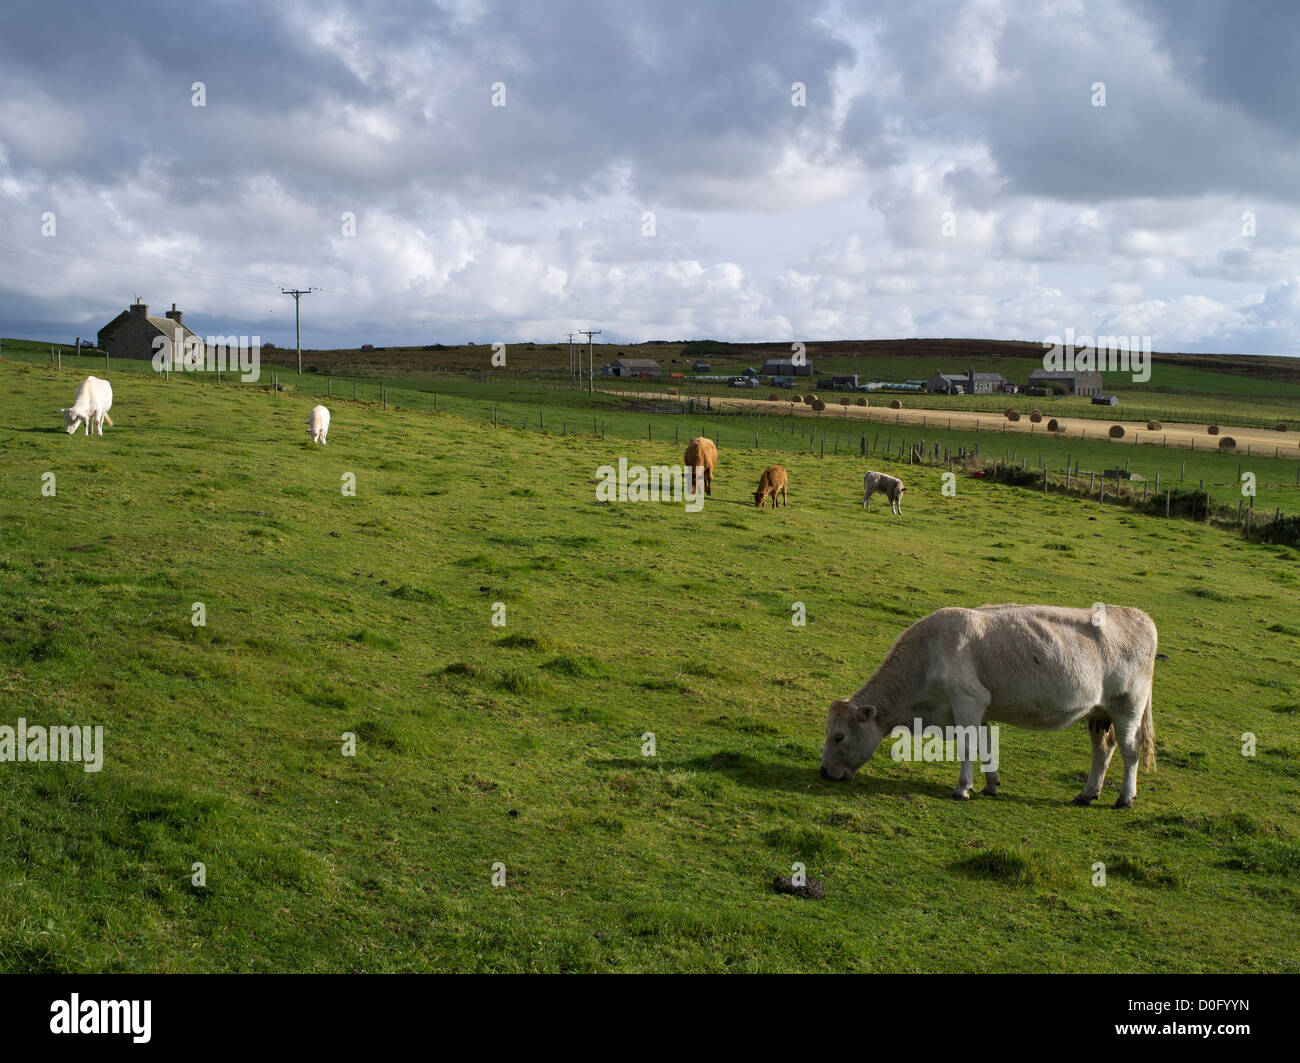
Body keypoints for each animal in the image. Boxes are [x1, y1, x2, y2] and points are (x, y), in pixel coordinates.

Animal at [819, 604, 1158, 809]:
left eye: (839, 736)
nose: (823, 771)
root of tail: (1139, 616)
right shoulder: (978, 710)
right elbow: (985, 746)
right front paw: (990, 785)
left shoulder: (967, 701)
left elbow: (968, 747)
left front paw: (962, 789)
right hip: (1099, 713)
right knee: (1103, 750)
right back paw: (1088, 794)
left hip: (1128, 705)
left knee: (1130, 750)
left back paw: (1124, 798)